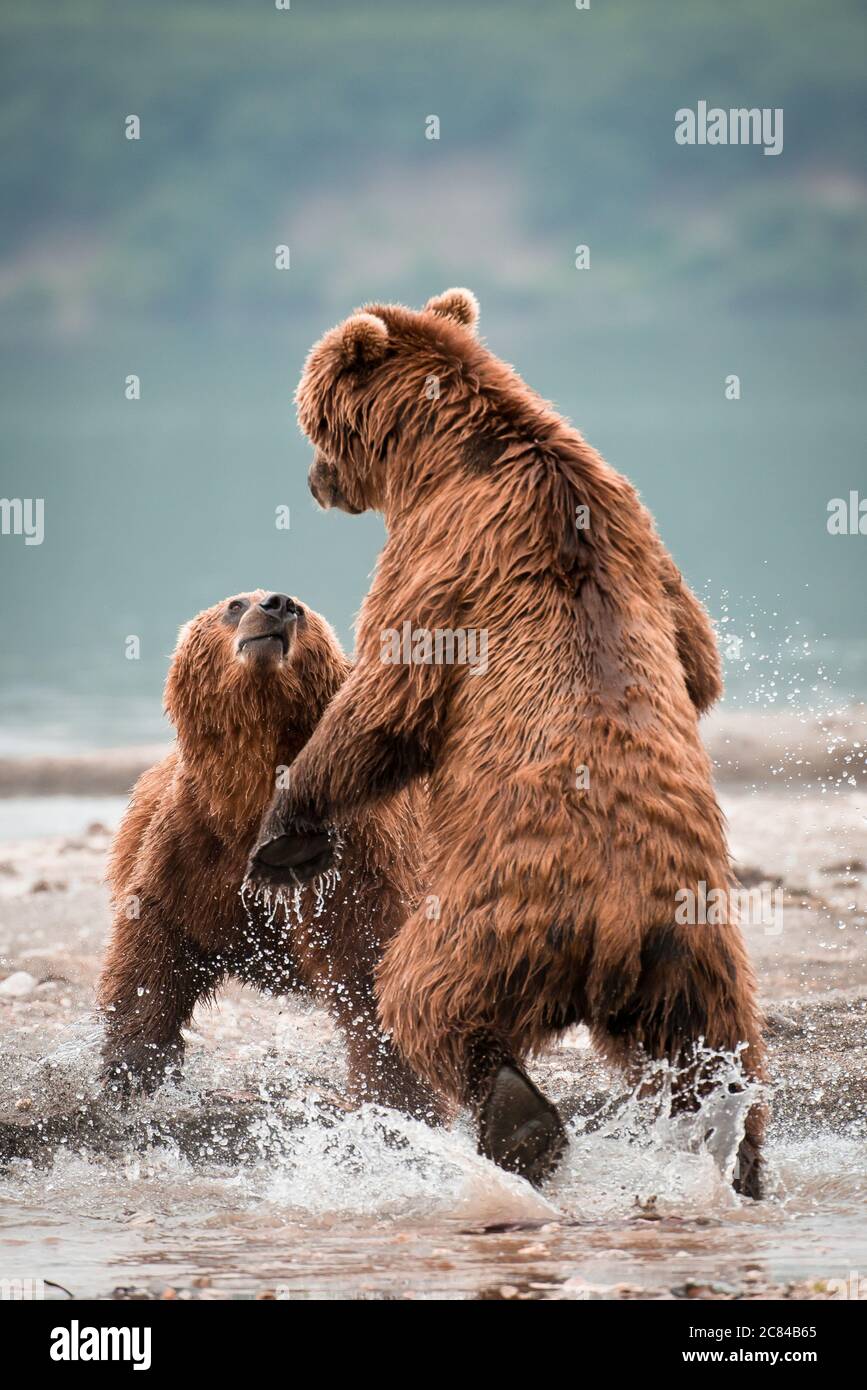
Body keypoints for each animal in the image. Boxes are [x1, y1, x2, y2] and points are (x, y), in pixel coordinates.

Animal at [99, 588, 437, 1121]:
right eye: (235, 604)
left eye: (301, 610)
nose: (277, 604)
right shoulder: (194, 843)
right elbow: (152, 948)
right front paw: (128, 1070)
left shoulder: (359, 860)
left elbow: (368, 963)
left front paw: (400, 1103)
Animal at [246, 290, 765, 1196]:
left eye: (310, 415)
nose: (312, 480)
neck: (443, 455)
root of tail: (617, 921)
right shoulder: (639, 535)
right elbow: (698, 660)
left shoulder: (440, 561)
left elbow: (387, 701)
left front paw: (286, 829)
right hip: (694, 951)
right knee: (716, 1054)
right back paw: (737, 1157)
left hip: (492, 915)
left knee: (427, 999)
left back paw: (520, 1125)